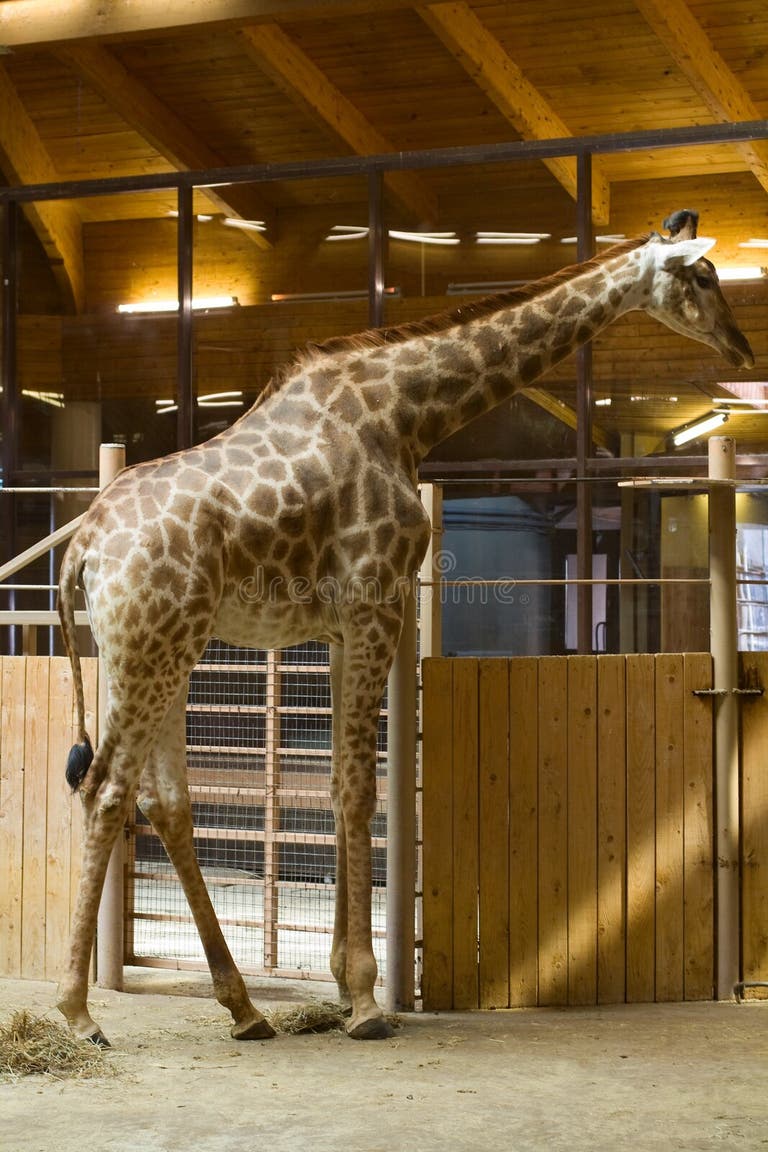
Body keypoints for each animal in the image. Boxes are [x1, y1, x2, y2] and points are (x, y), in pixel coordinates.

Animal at [57, 210, 752, 1045]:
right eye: (704, 276)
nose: (742, 349)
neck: (407, 414)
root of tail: (85, 547)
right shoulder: (375, 601)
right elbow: (365, 790)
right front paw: (364, 1000)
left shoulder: (334, 628)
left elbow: (335, 786)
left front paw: (337, 982)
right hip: (152, 649)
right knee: (105, 790)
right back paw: (77, 1012)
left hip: (164, 648)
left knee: (163, 802)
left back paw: (245, 1008)